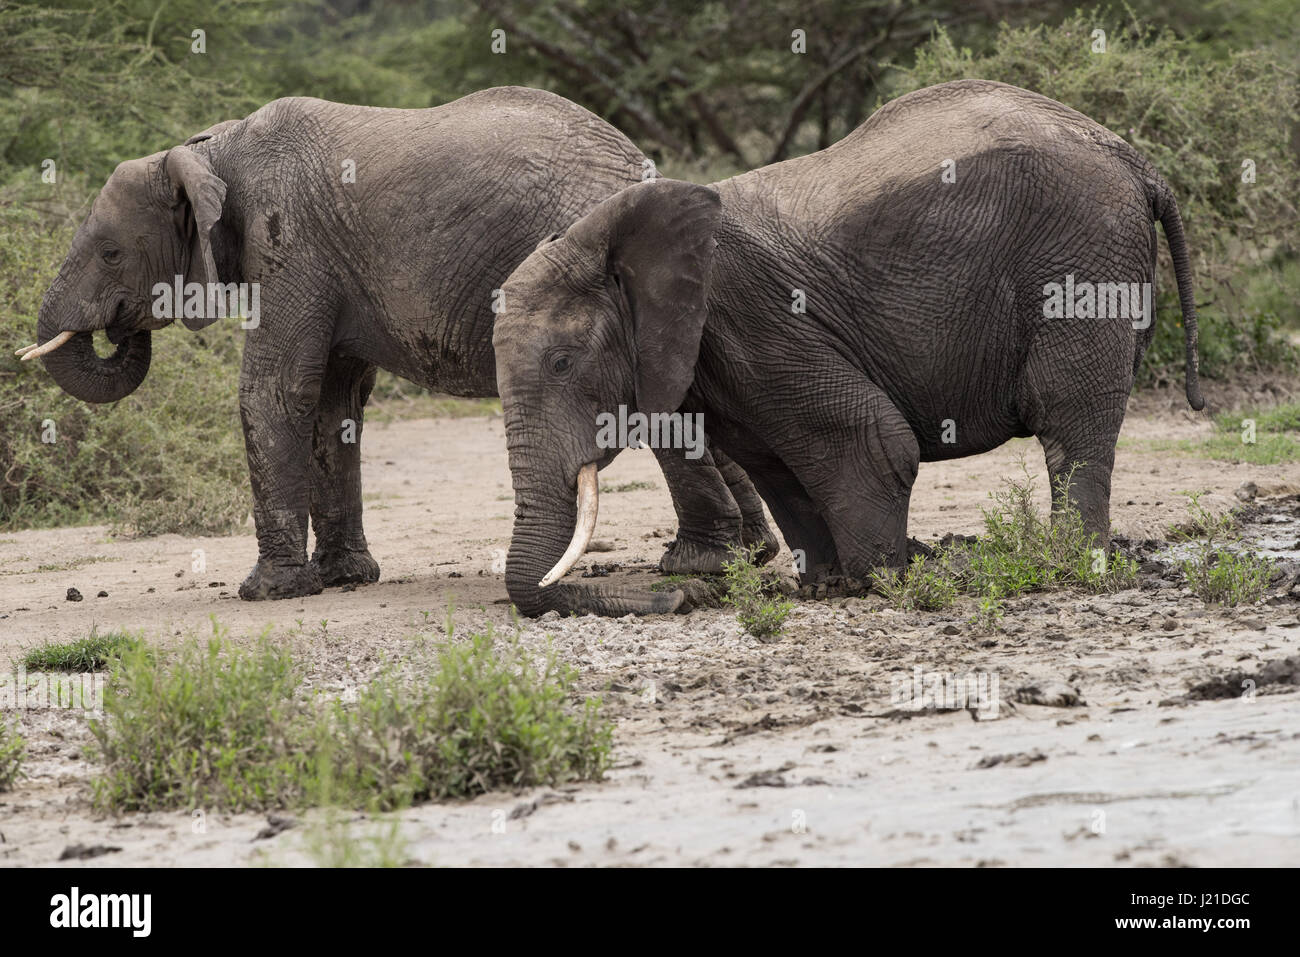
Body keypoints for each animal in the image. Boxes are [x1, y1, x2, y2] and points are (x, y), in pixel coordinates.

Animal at [19, 87, 776, 600]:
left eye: (111, 252)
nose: (118, 327)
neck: (208, 150)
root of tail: (640, 165)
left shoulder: (290, 245)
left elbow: (276, 390)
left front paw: (268, 591)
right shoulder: (323, 264)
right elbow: (334, 404)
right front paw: (345, 577)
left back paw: (698, 564)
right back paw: (752, 556)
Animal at [491, 79, 1205, 617]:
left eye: (561, 362)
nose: (683, 597)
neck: (611, 235)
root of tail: (1134, 159)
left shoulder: (751, 313)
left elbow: (870, 439)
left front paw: (879, 579)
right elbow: (772, 460)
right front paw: (824, 585)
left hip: (1081, 267)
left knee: (1066, 419)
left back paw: (1064, 565)